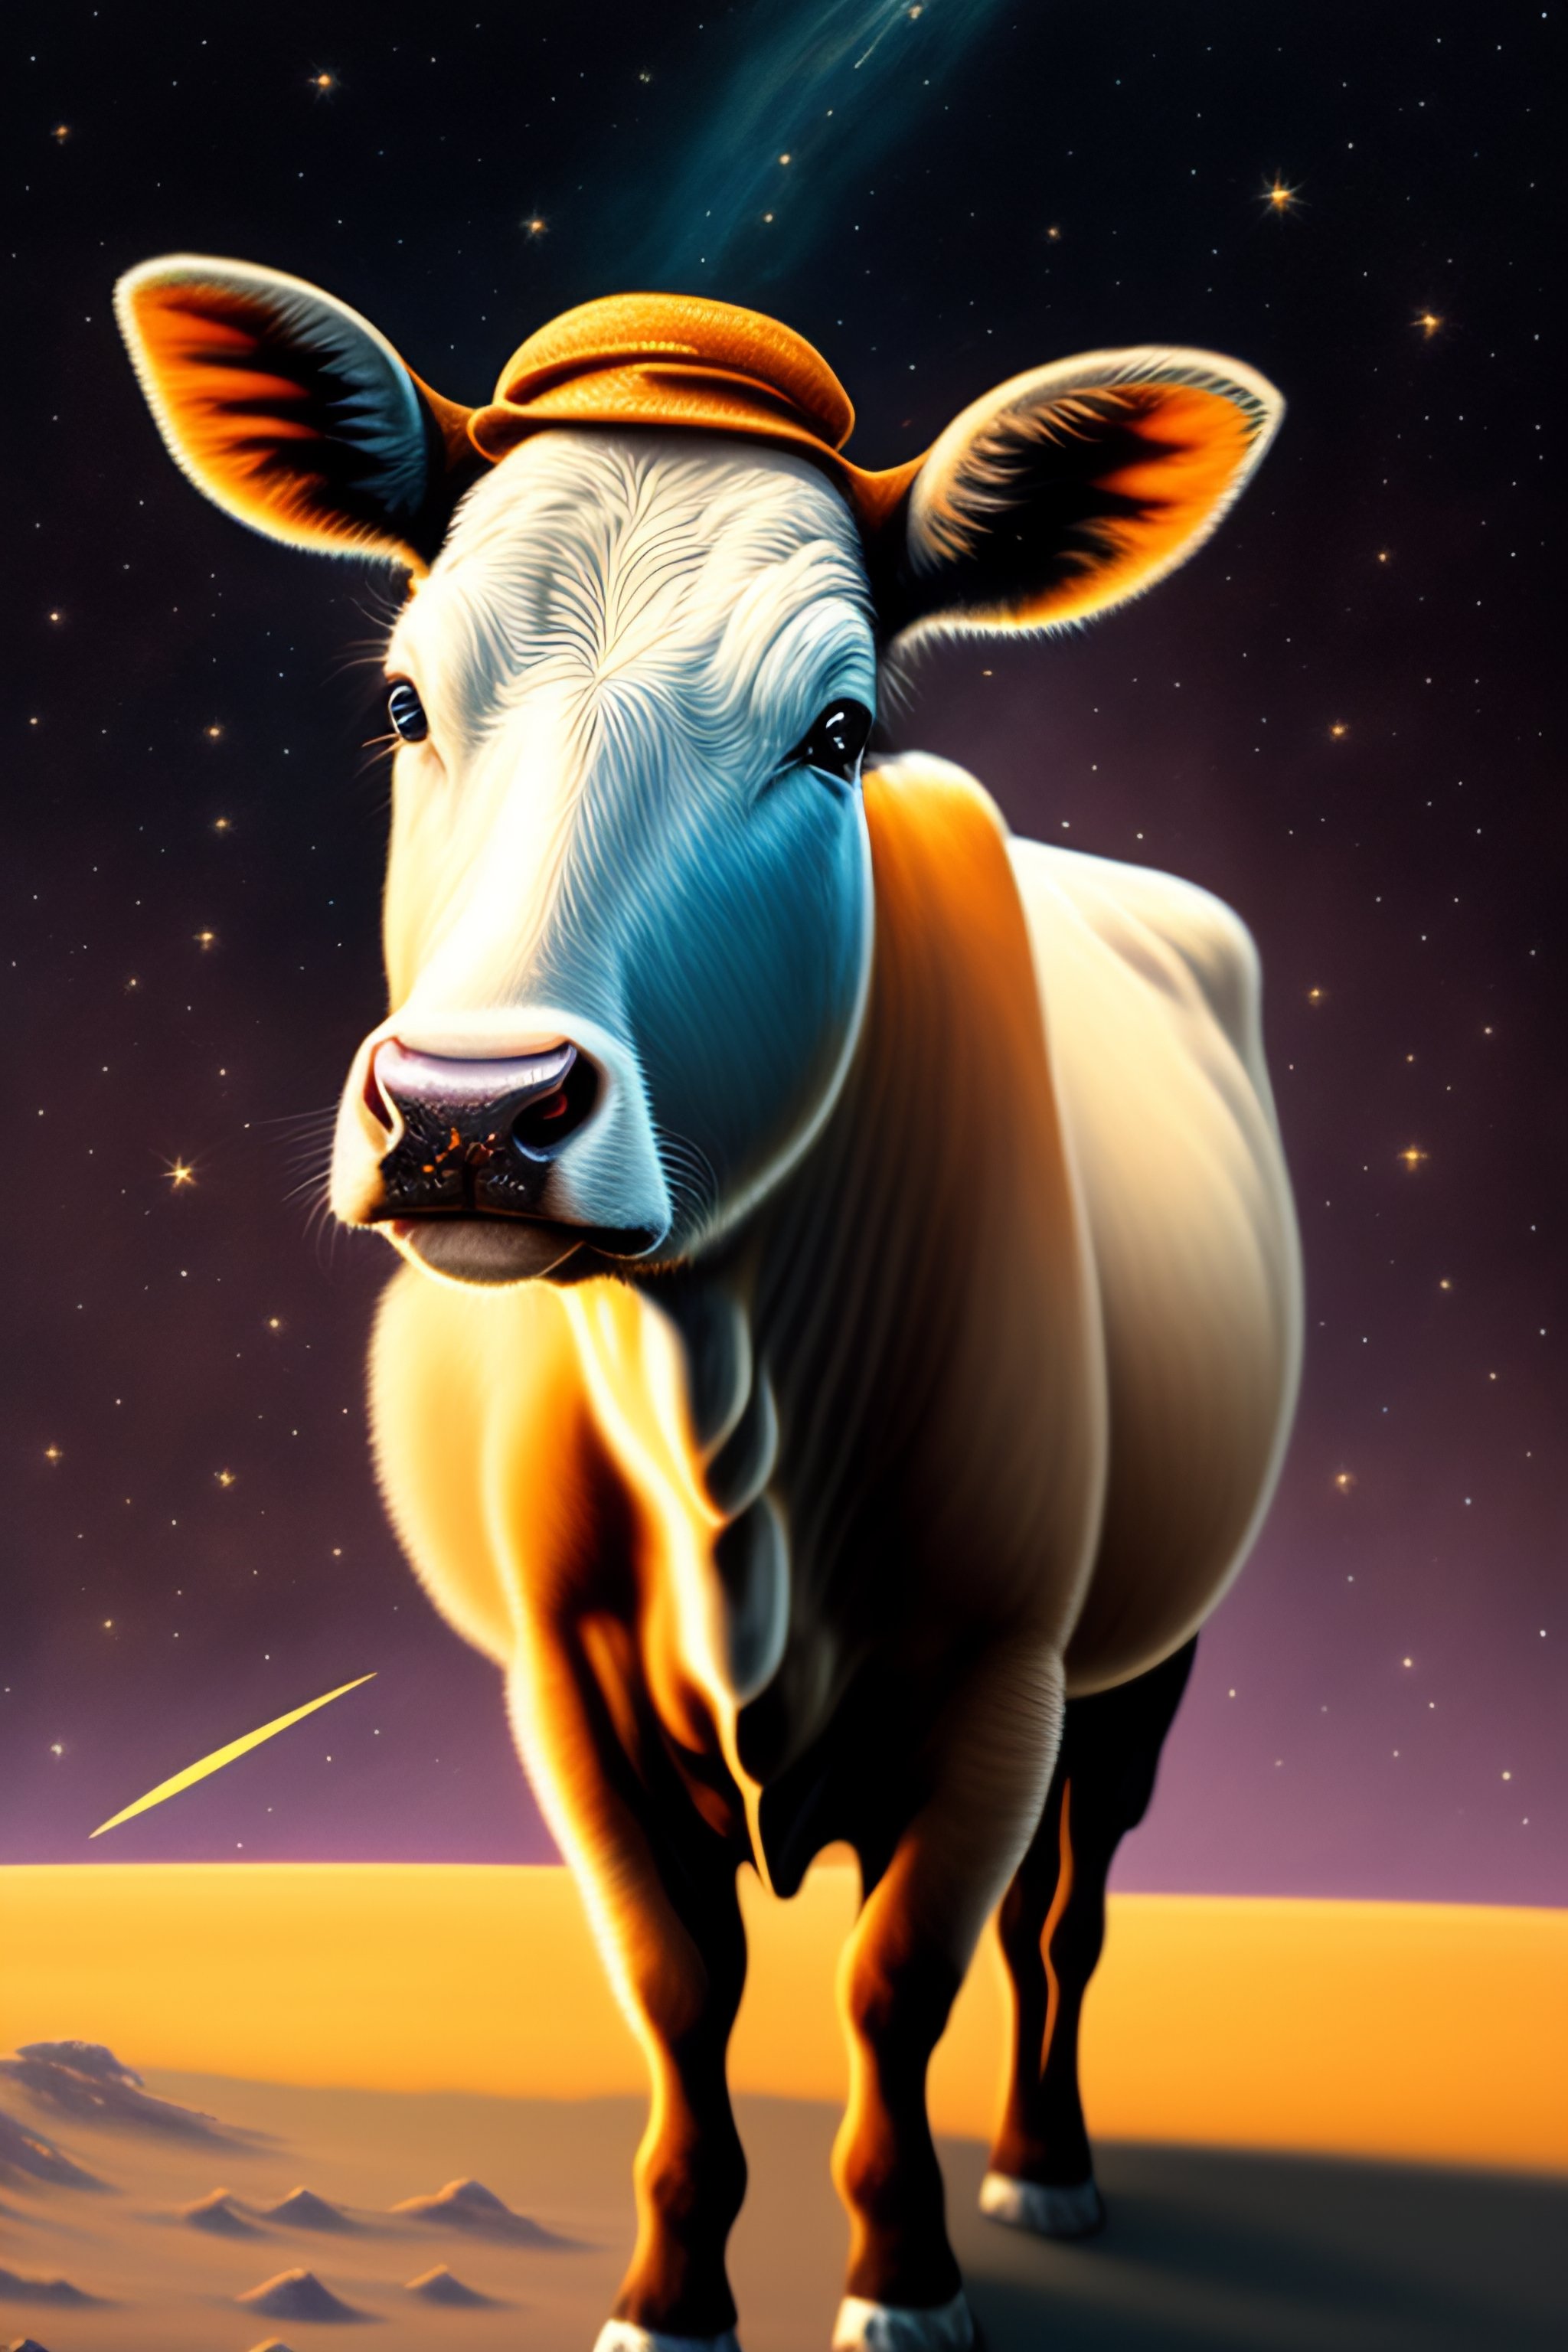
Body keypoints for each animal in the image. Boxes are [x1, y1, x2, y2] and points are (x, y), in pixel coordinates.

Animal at [116, 260, 1302, 2352]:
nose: (469, 1112)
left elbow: (901, 1974)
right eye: (406, 701)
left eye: (836, 728)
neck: (720, 1387)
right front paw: (671, 2291)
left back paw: (1048, 2159)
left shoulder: (1000, 1666)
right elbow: (678, 1979)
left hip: (1141, 1647)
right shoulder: (567, 1675)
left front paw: (902, 2274)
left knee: (1065, 1909)